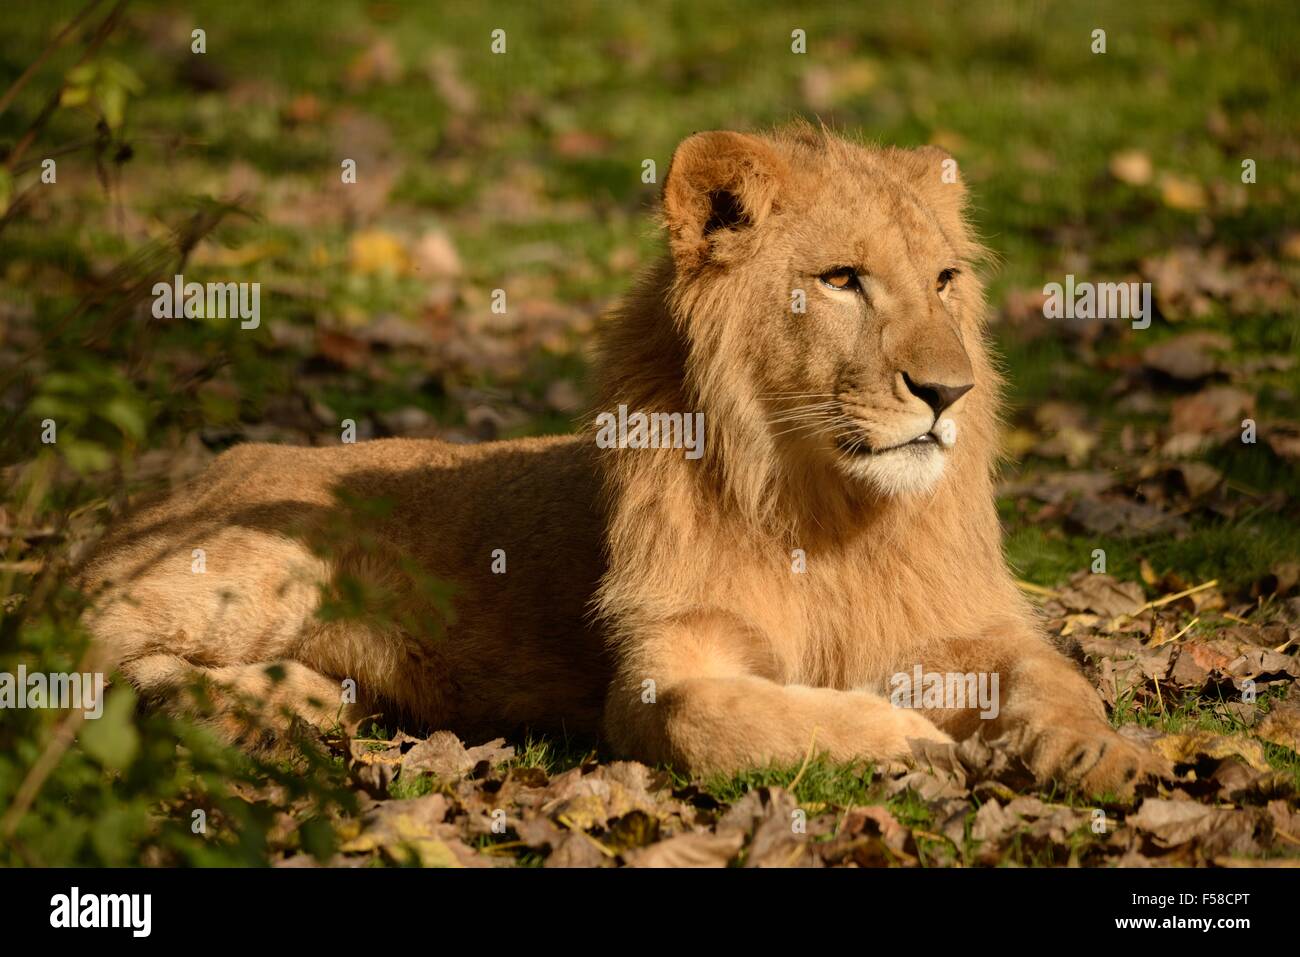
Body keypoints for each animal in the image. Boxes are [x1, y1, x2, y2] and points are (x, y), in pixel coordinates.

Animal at [80, 124, 1165, 796]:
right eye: (842, 280)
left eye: (944, 280)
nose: (949, 394)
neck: (825, 505)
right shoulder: (653, 671)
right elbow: (711, 719)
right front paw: (910, 743)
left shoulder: (967, 628)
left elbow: (1059, 679)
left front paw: (1102, 756)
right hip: (263, 564)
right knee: (91, 653)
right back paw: (276, 701)